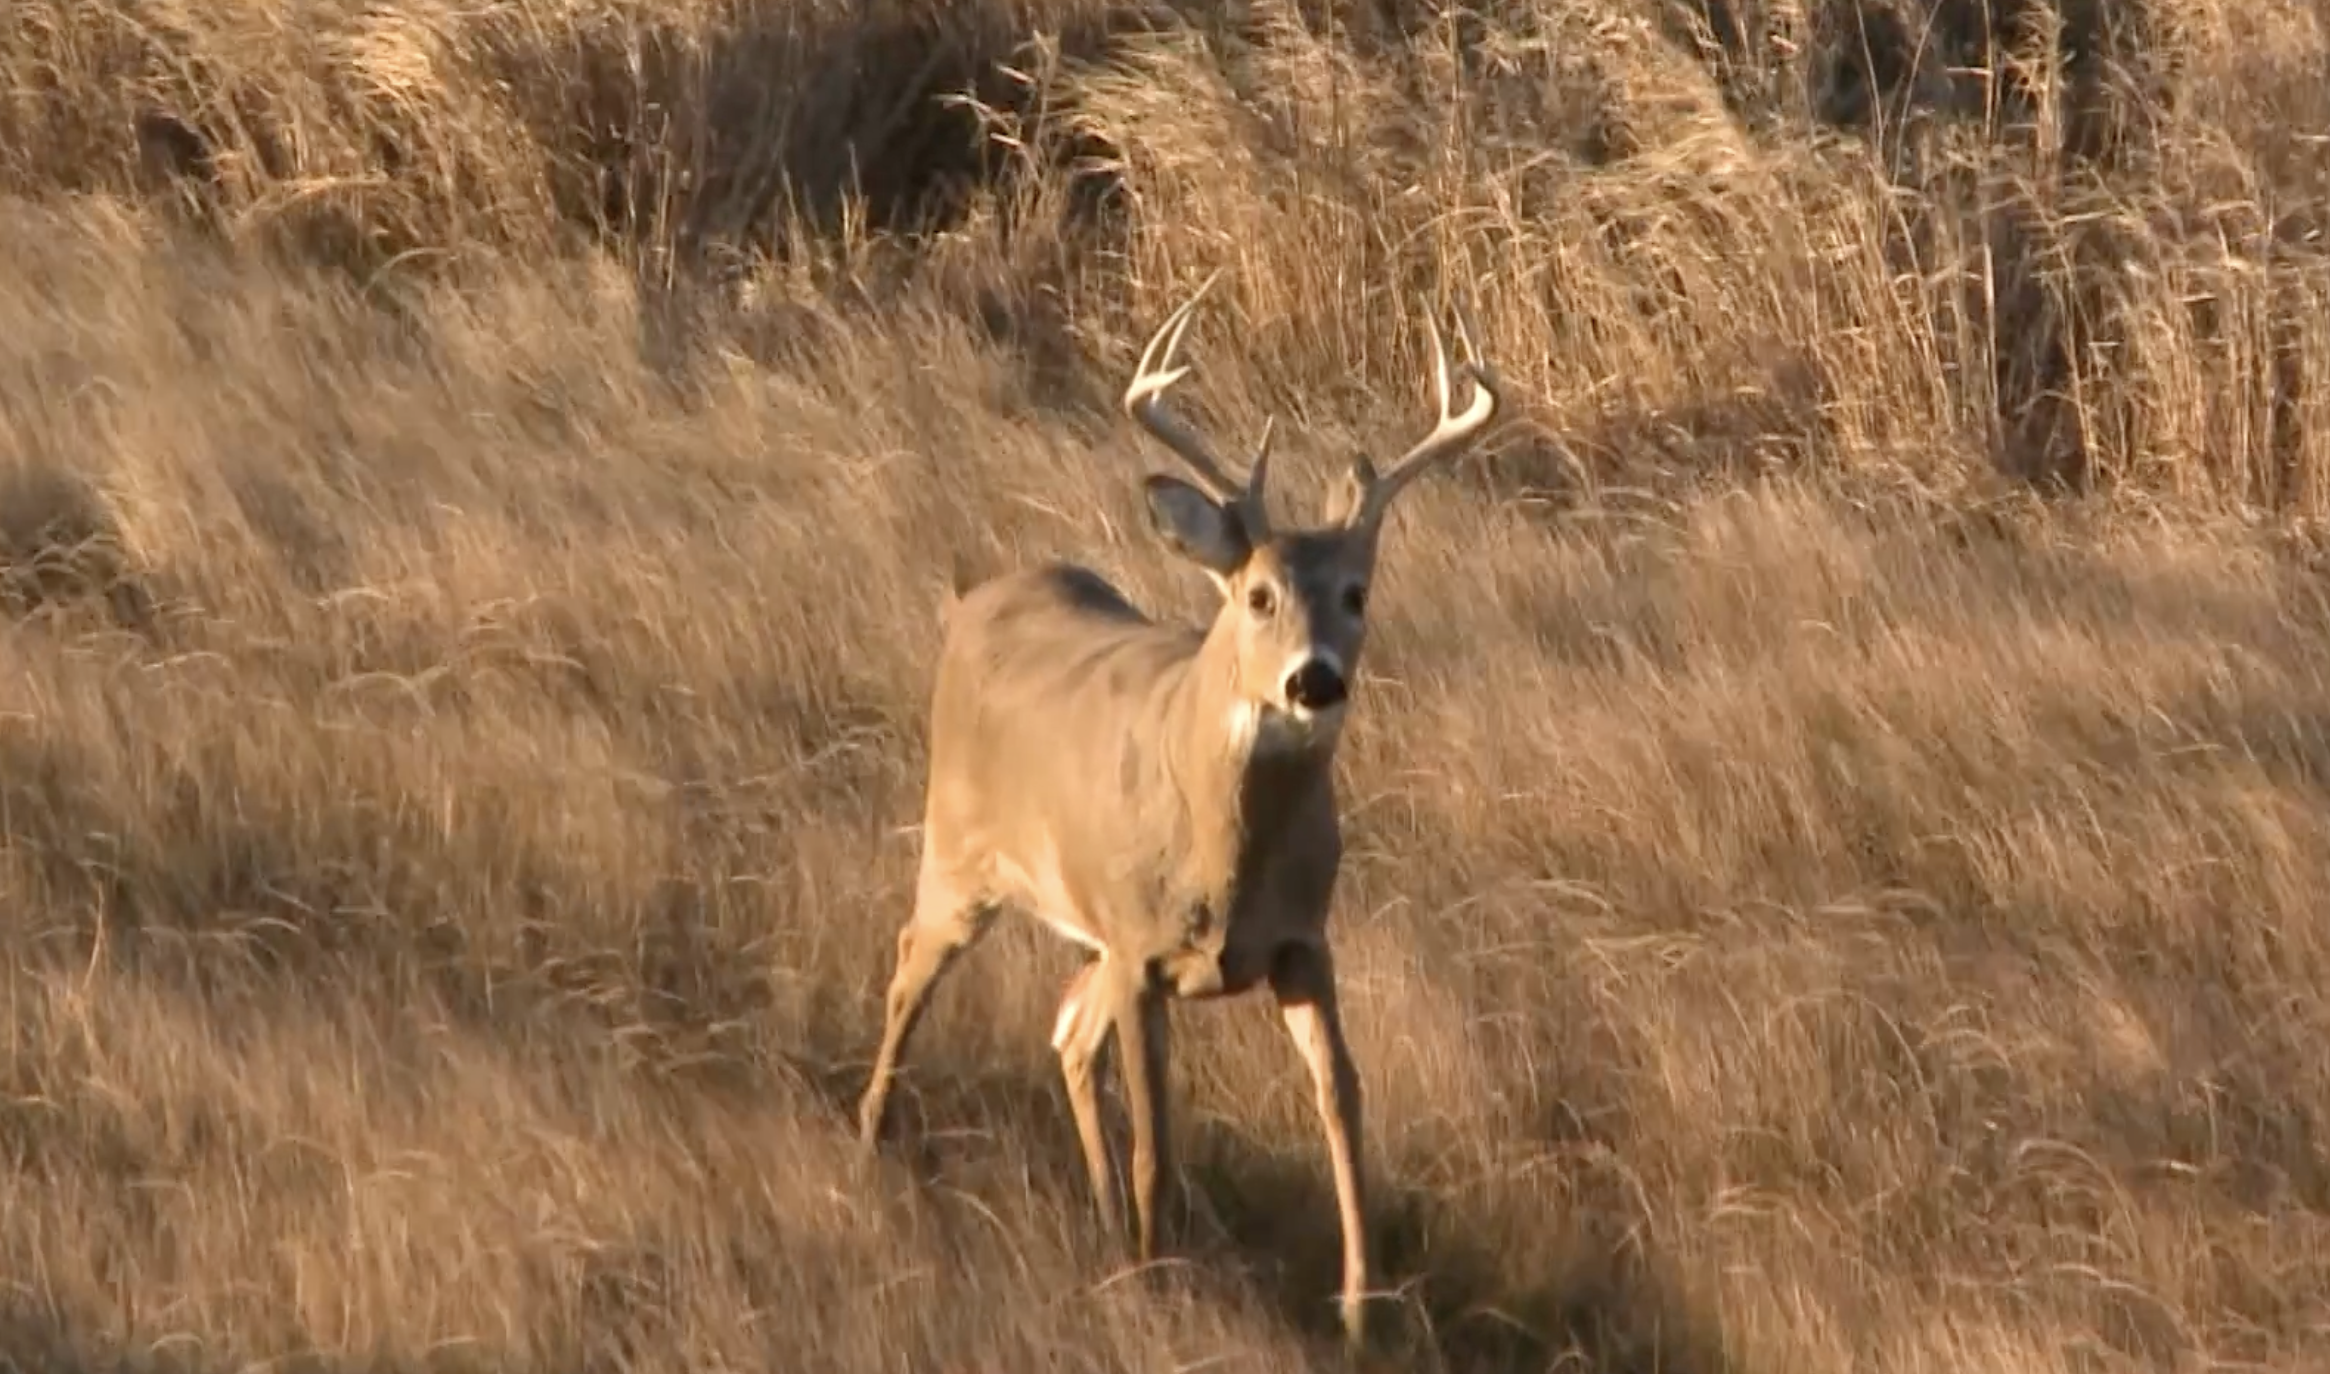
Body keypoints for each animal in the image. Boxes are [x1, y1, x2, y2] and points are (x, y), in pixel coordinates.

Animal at [854, 269, 1506, 1348]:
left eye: (1356, 594)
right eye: (1256, 594)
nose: (1314, 681)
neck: (1225, 861)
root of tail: (975, 594)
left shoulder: (1302, 943)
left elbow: (1342, 1108)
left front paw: (1359, 1308)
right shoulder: (1140, 947)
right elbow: (1159, 1139)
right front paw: (1160, 1287)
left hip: (1077, 927)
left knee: (1065, 1030)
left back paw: (1103, 1221)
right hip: (959, 848)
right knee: (912, 967)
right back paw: (873, 1133)